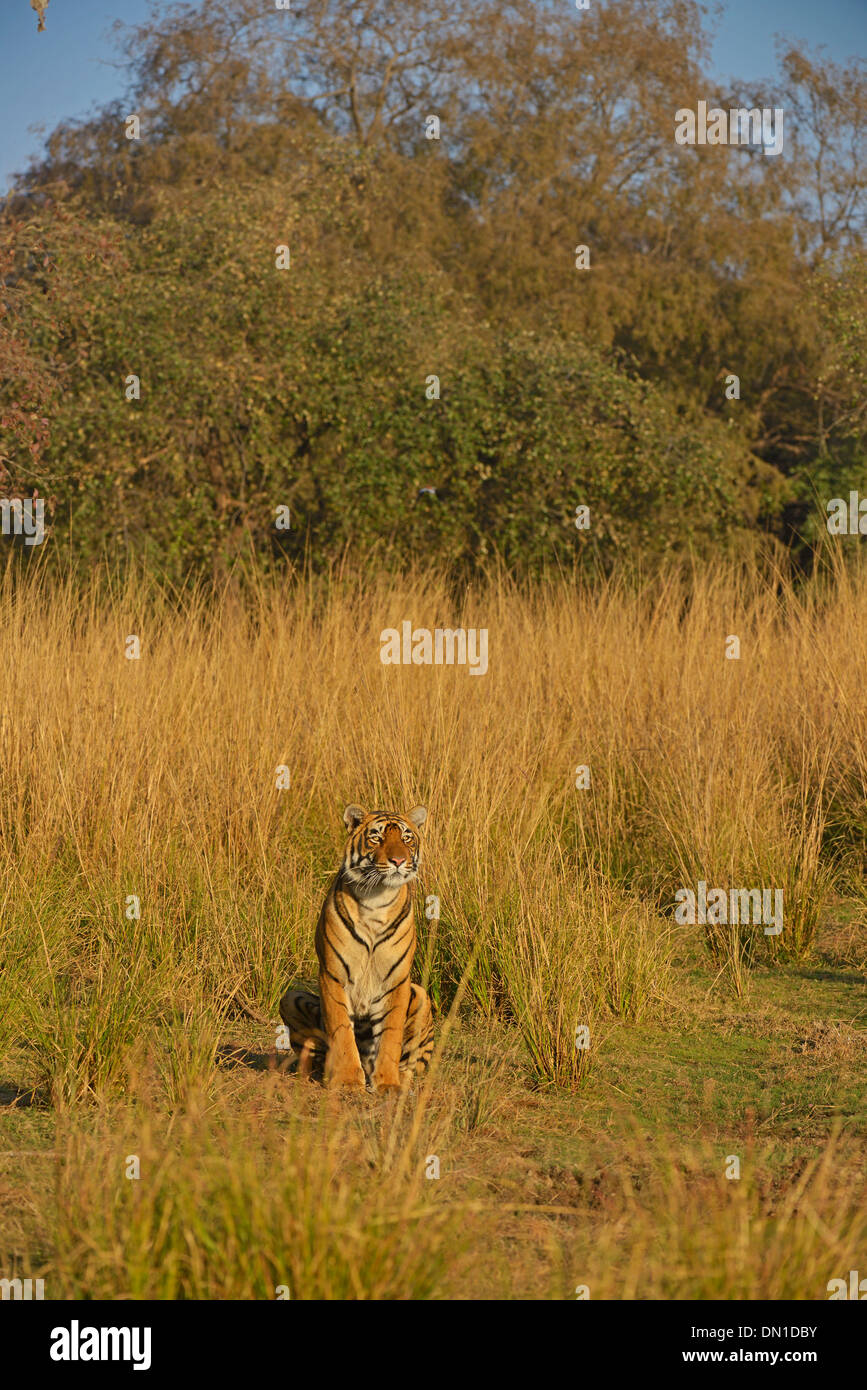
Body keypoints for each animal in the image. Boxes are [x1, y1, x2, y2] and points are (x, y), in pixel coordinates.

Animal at [279, 804, 434, 1091]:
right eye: (377, 838)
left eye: (406, 838)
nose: (399, 861)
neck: (377, 899)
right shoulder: (333, 975)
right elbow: (342, 1031)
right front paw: (348, 1080)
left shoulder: (396, 981)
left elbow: (390, 1035)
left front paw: (388, 1084)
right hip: (291, 998)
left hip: (420, 996)